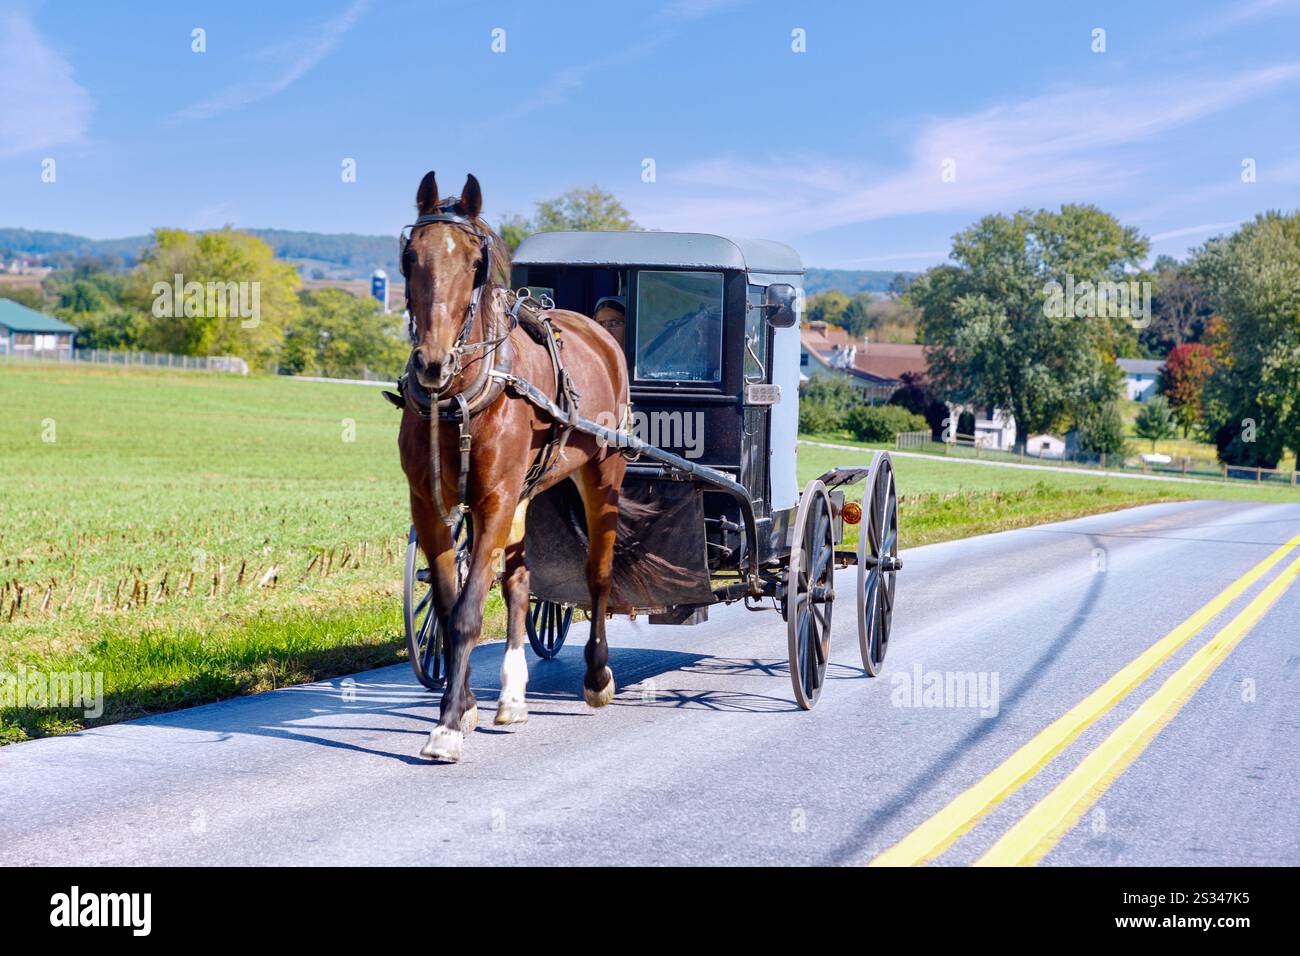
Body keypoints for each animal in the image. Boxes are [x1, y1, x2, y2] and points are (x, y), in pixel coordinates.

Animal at [398, 171, 630, 763]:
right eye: (410, 256)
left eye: (476, 263)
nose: (432, 362)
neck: (460, 395)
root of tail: (600, 332)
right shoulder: (432, 503)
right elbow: (451, 601)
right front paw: (466, 705)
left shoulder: (495, 500)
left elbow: (466, 614)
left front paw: (447, 725)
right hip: (524, 492)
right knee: (521, 582)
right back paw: (512, 696)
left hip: (603, 471)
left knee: (598, 574)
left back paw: (597, 676)